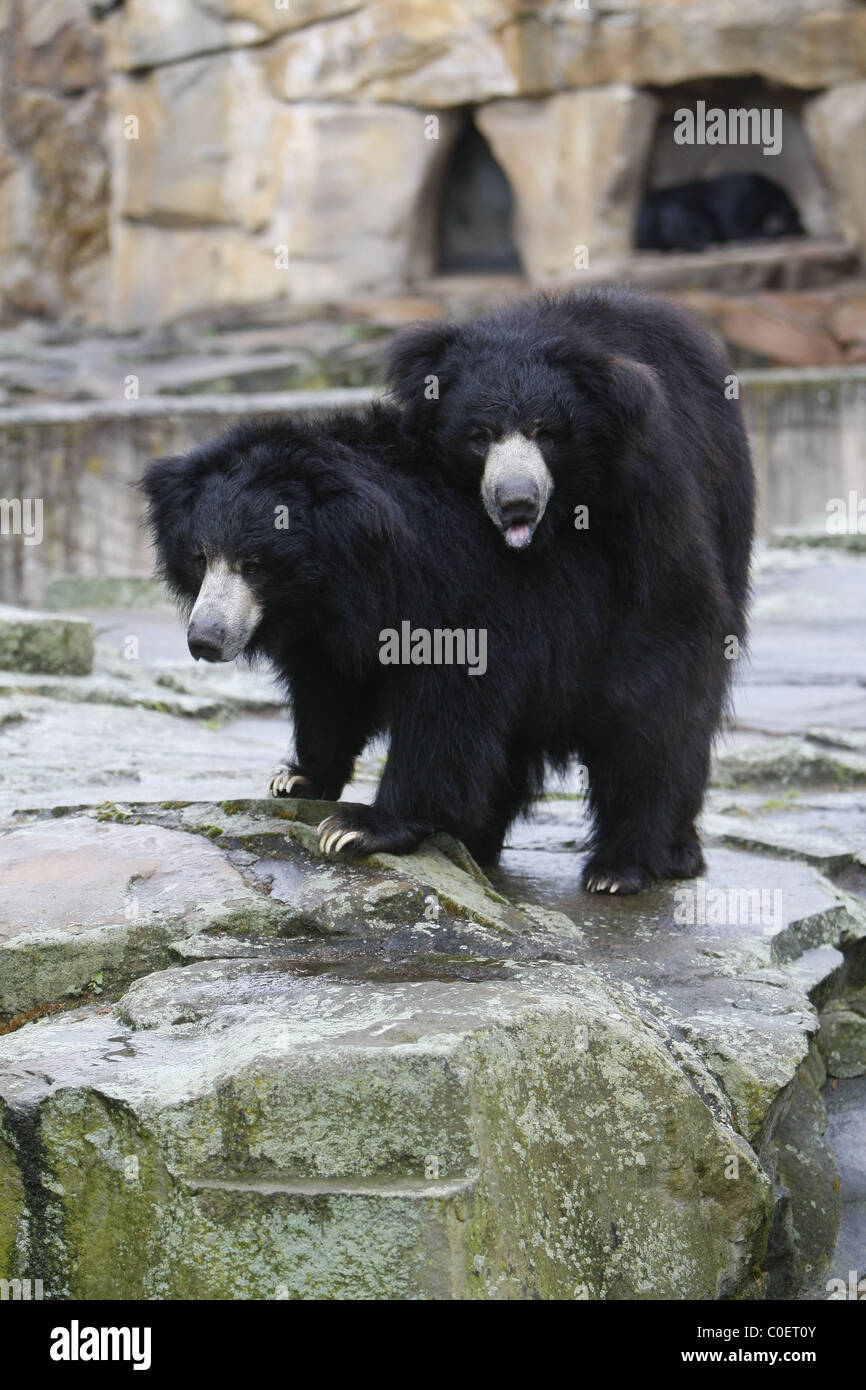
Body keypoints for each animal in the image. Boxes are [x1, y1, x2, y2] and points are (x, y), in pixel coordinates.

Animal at [384, 288, 755, 891]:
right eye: (480, 435)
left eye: (545, 432)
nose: (516, 500)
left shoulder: (647, 491)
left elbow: (668, 635)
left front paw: (619, 868)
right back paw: (478, 837)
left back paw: (677, 853)